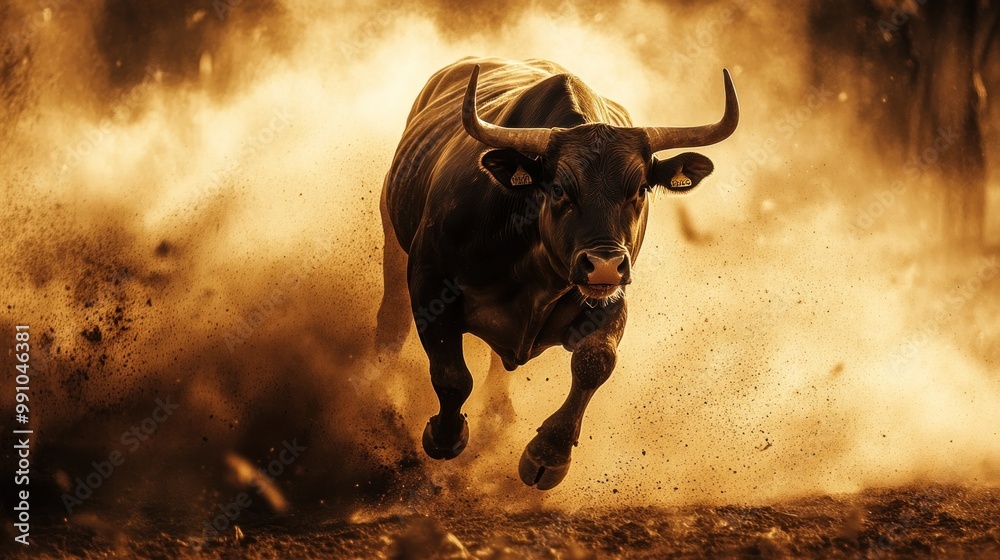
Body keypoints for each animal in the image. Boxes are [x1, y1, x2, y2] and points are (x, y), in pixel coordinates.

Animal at [376, 57, 739, 489]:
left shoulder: (611, 299)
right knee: (391, 320)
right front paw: (444, 437)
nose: (604, 264)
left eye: (639, 190)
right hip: (392, 238)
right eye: (560, 189)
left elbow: (595, 361)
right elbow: (452, 375)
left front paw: (547, 455)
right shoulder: (429, 281)